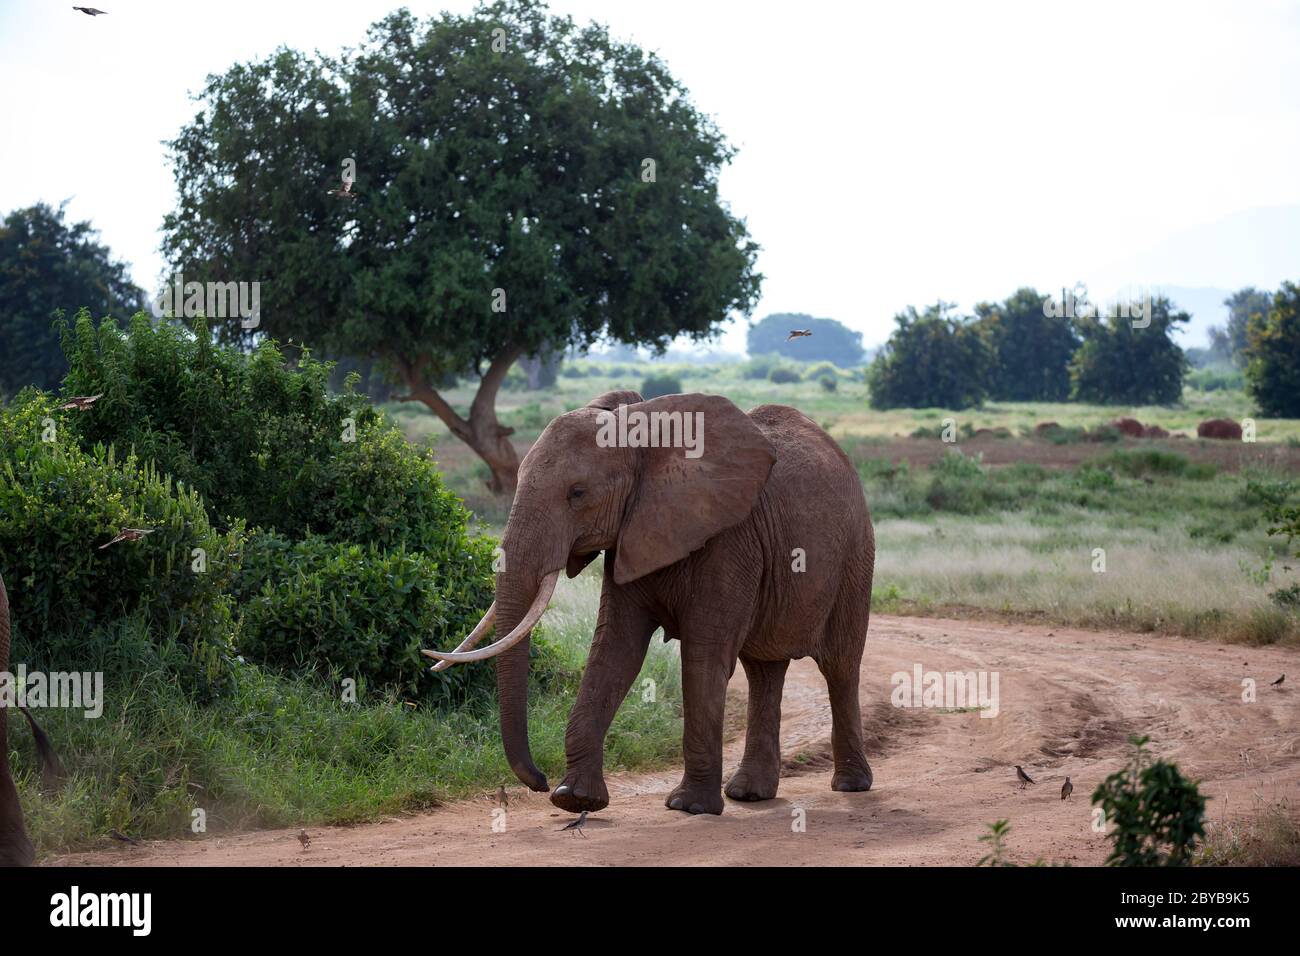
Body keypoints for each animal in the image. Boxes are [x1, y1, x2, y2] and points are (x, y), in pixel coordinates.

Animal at [424, 391, 875, 815]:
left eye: (577, 493)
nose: (538, 780)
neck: (645, 436)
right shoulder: (630, 534)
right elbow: (614, 651)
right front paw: (574, 799)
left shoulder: (729, 538)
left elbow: (704, 657)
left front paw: (689, 807)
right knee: (764, 670)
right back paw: (749, 794)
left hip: (855, 554)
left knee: (840, 665)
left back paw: (850, 786)